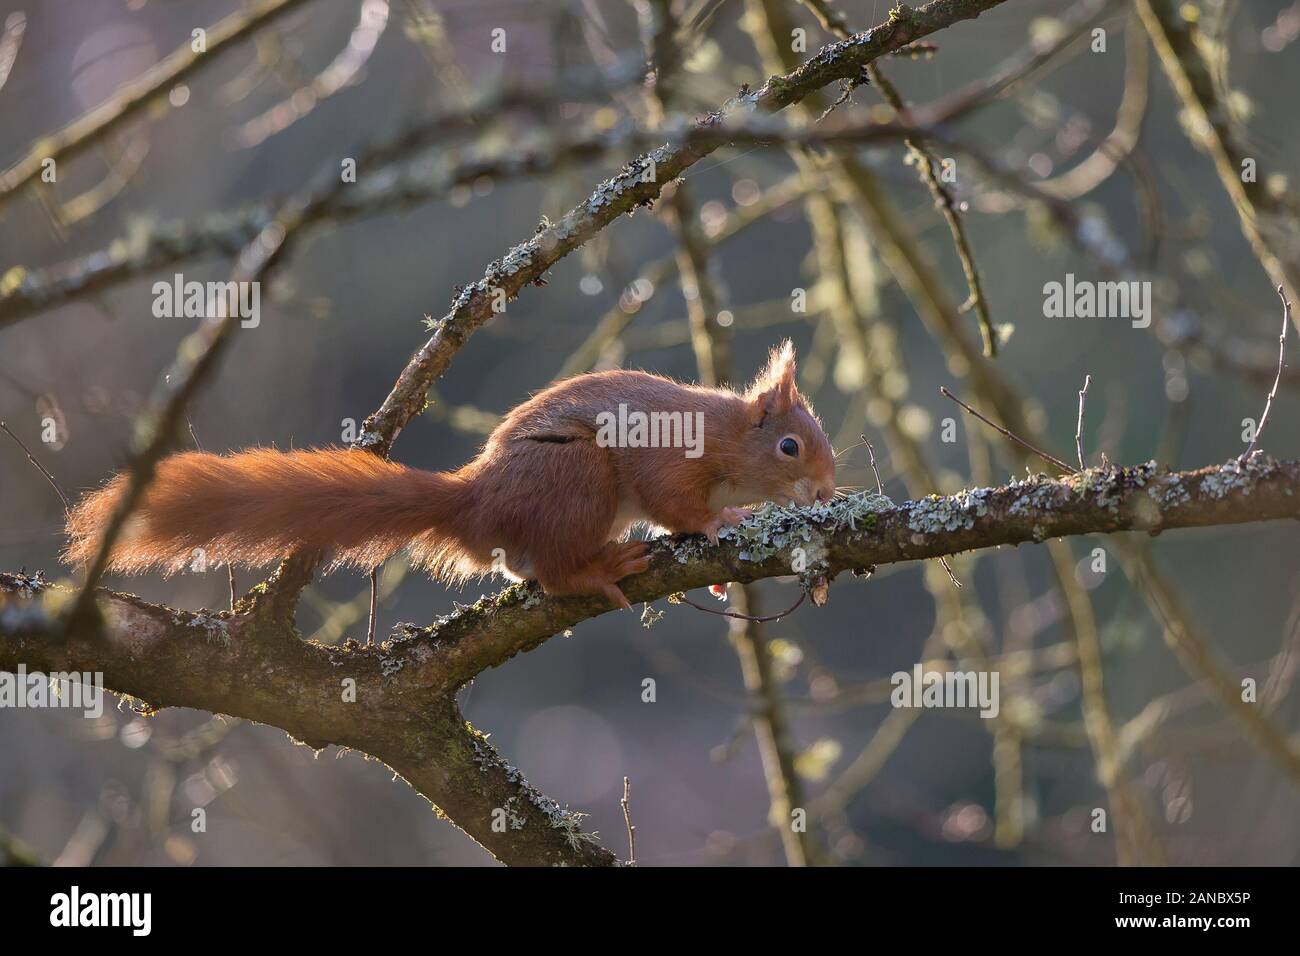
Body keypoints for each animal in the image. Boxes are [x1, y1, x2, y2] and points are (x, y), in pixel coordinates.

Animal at [64, 341, 837, 609]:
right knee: (555, 571)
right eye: (791, 447)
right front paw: (719, 520)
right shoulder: (671, 458)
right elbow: (675, 503)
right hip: (578, 477)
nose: (829, 492)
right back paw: (598, 569)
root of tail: (477, 501)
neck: (730, 434)